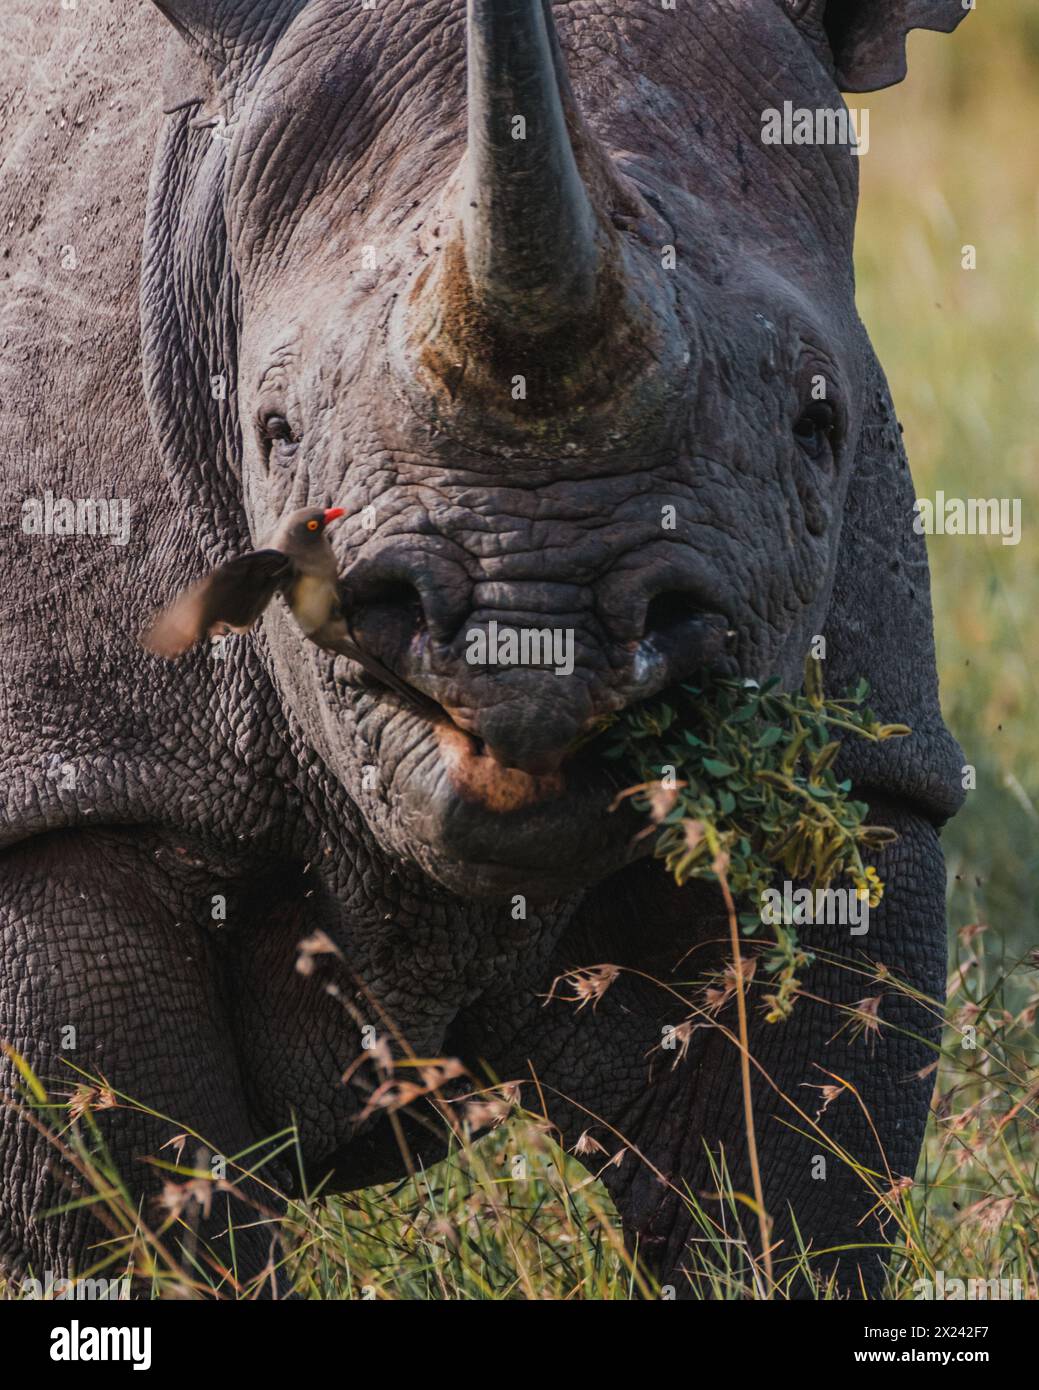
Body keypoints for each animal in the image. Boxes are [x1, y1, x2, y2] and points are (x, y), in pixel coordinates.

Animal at [0, 0, 967, 1297]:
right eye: (274, 430)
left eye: (820, 421)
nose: (532, 642)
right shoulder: (80, 775)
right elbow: (134, 1214)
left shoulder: (861, 772)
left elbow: (785, 1194)